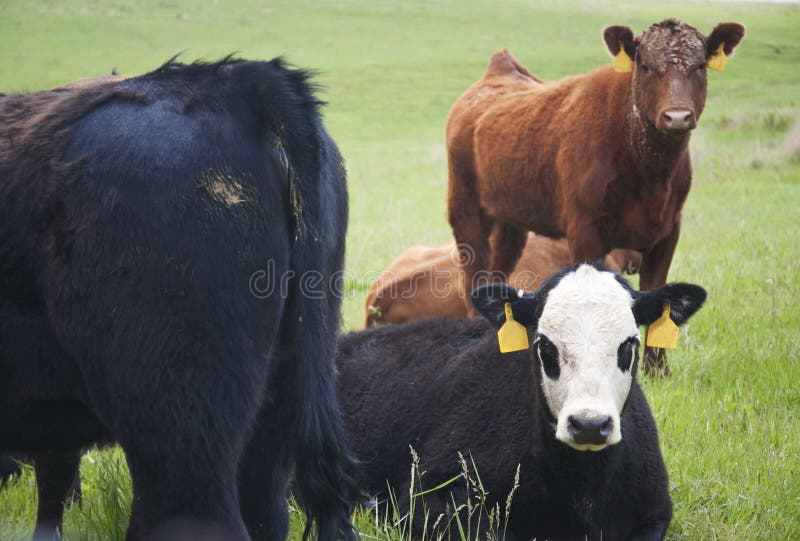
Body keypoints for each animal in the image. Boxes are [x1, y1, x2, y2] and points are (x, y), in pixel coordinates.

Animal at [337, 263, 707, 540]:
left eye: (629, 344)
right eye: (545, 345)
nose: (589, 425)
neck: (585, 488)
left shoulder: (655, 510)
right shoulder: (427, 496)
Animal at [446, 19, 744, 374]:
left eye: (699, 66)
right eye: (646, 66)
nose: (677, 116)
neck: (649, 171)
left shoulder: (668, 229)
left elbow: (660, 300)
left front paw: (657, 370)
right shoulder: (584, 229)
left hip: (511, 222)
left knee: (497, 274)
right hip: (465, 208)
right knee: (473, 275)